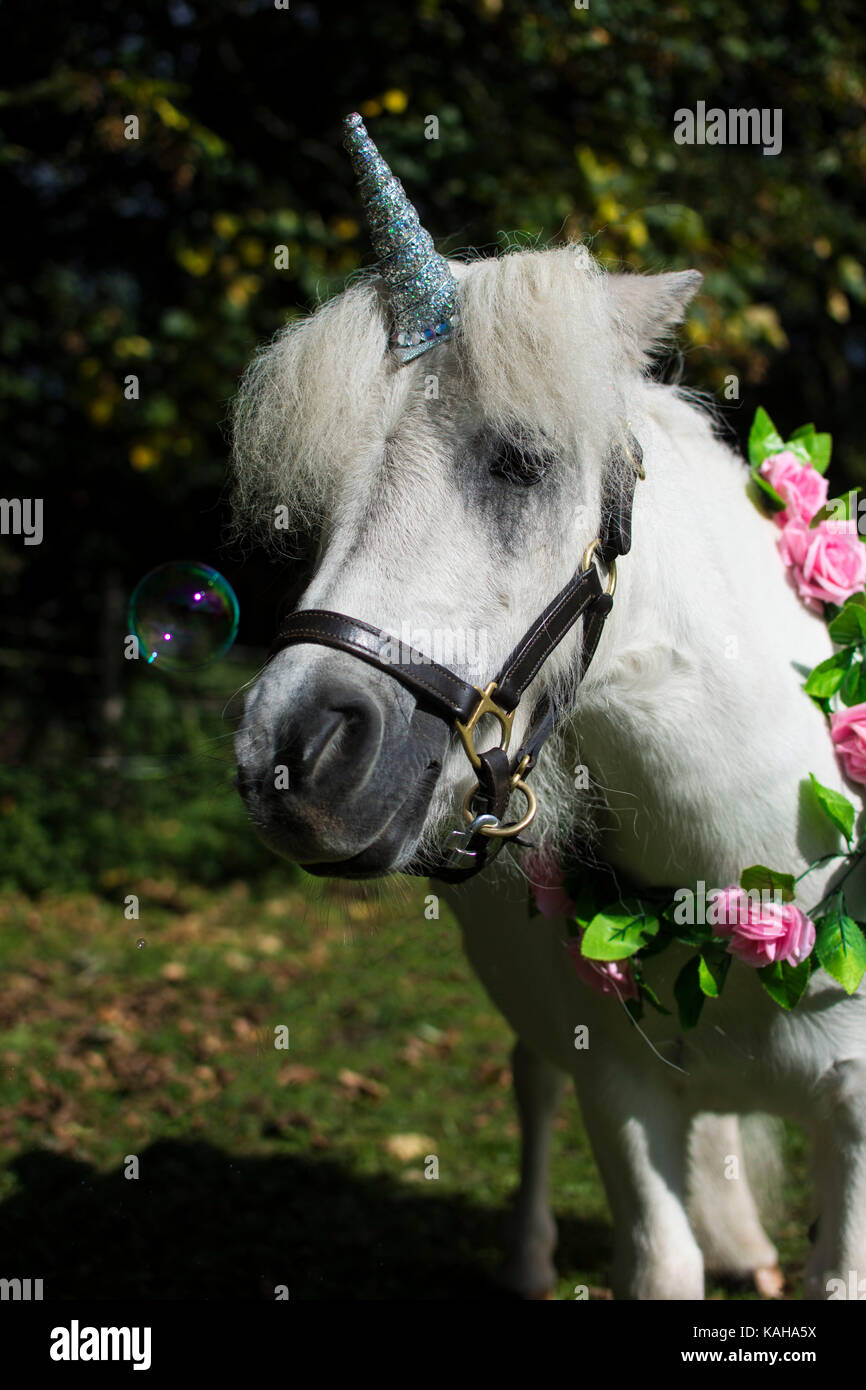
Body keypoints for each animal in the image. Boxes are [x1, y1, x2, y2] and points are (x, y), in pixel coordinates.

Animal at [231, 115, 866, 1299]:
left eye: (520, 461)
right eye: (322, 501)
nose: (288, 758)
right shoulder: (617, 1085)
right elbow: (656, 1256)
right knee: (532, 1080)